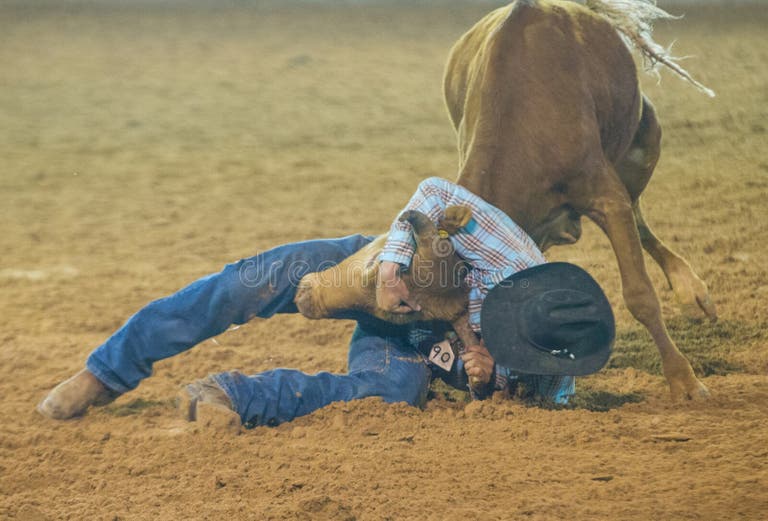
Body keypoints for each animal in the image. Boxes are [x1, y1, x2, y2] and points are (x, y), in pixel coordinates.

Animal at [296, 0, 715, 400]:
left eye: (402, 310)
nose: (305, 296)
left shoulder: (606, 197)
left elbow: (639, 294)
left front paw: (684, 381)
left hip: (644, 143)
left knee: (639, 215)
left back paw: (691, 291)